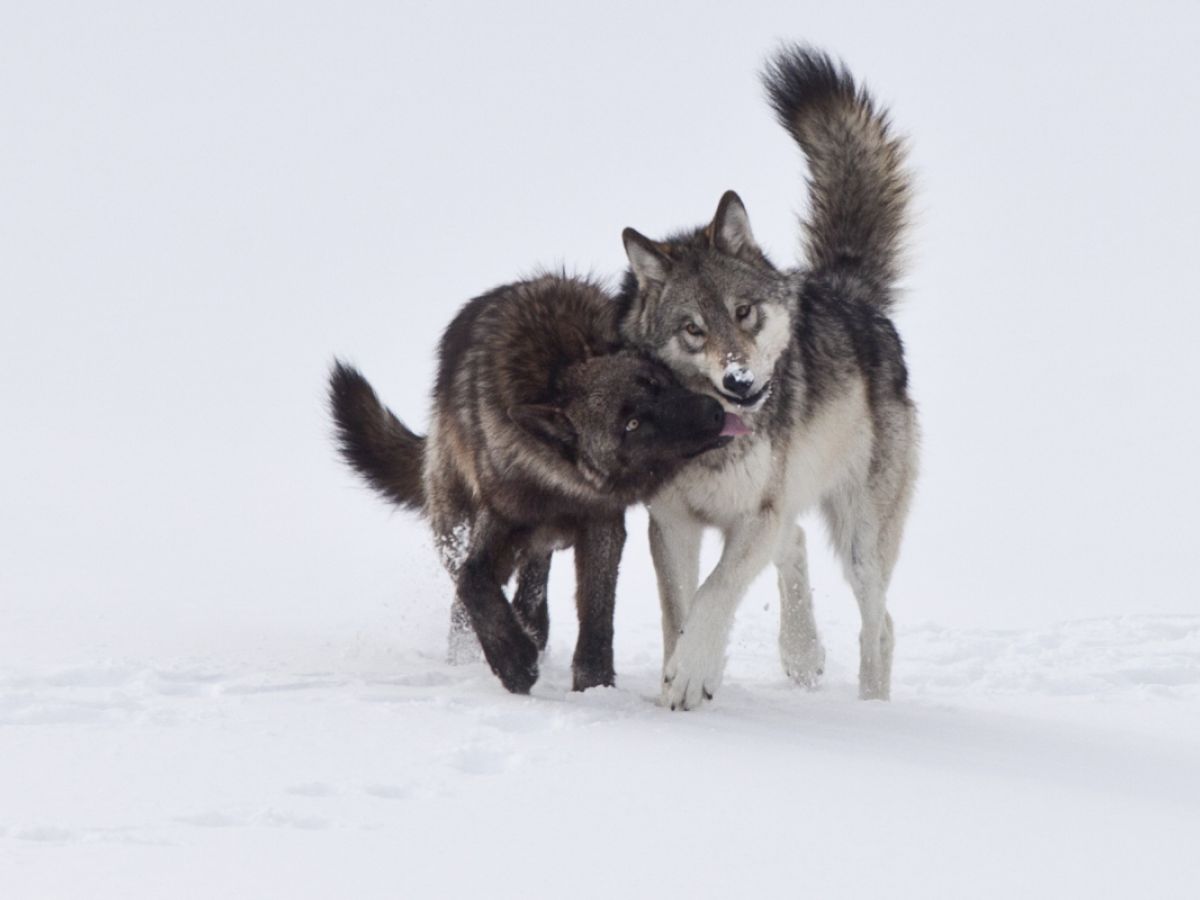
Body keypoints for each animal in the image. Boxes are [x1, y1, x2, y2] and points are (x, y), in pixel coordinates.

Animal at [330, 274, 739, 695]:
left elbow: (597, 610)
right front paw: (513, 661)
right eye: (632, 424)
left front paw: (594, 684)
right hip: (454, 528)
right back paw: (471, 658)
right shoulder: (498, 520)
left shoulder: (602, 525)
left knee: (532, 583)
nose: (715, 412)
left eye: (658, 382)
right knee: (463, 594)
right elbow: (472, 581)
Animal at [618, 45, 917, 708]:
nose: (740, 382)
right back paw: (802, 657)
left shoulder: (755, 515)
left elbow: (715, 592)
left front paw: (691, 673)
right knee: (800, 546)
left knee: (882, 624)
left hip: (860, 537)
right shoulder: (670, 521)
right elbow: (679, 608)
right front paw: (679, 679)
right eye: (693, 329)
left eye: (743, 313)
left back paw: (874, 708)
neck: (707, 438)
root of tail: (845, 289)